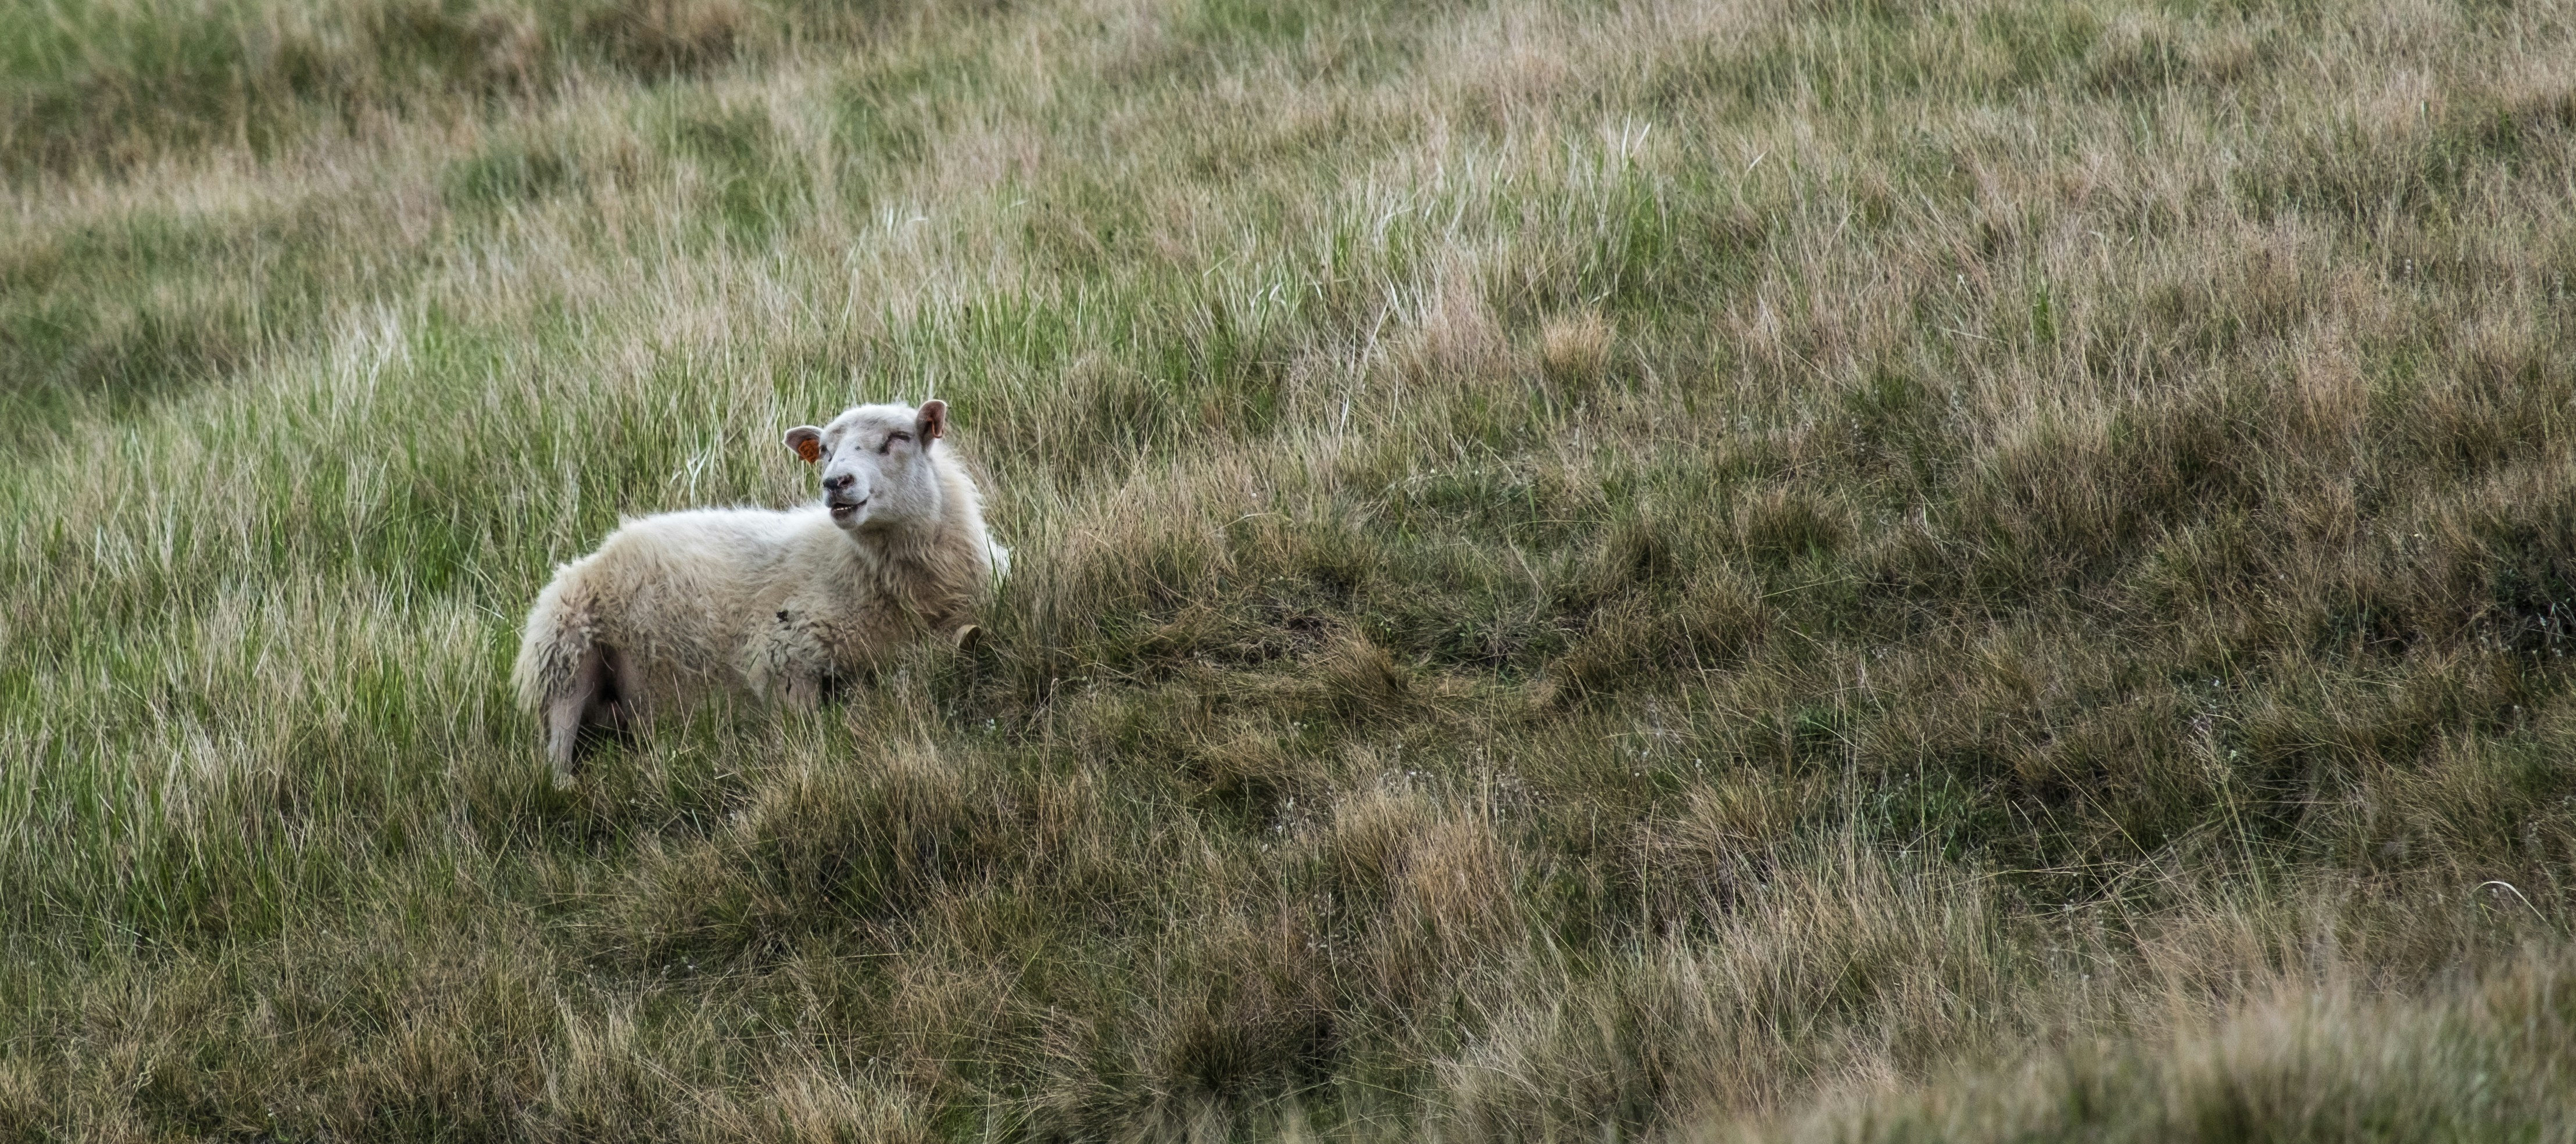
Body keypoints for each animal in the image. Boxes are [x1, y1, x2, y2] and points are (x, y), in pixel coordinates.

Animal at [512, 399, 1007, 787]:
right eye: (824, 452)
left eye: (899, 437)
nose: (836, 483)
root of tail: (599, 550)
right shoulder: (781, 656)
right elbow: (808, 729)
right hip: (563, 651)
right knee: (556, 750)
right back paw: (570, 787)